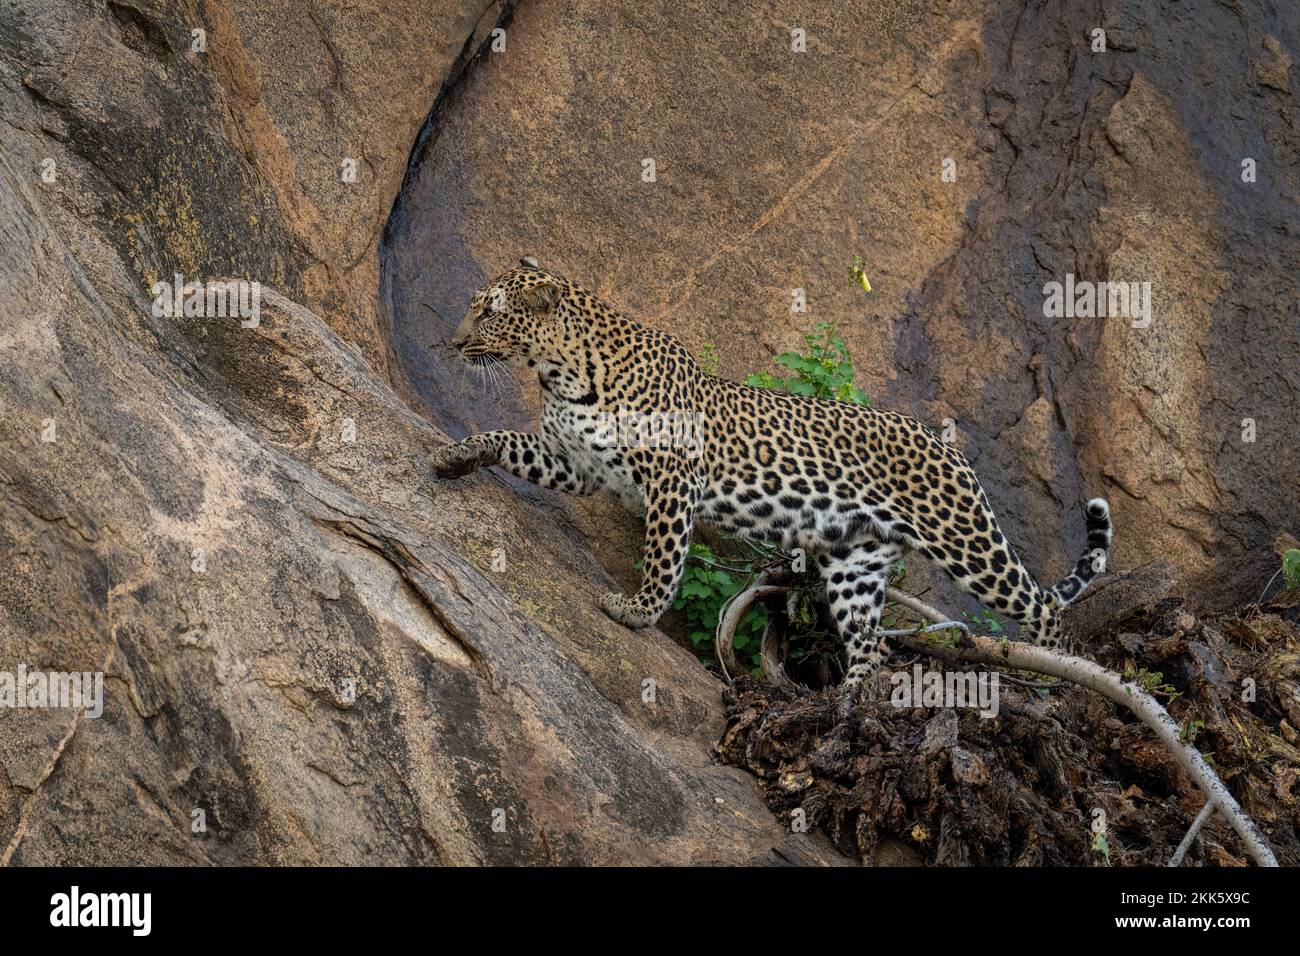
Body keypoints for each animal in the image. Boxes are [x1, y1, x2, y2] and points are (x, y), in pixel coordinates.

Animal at [431, 258, 1113, 687]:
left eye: (488, 314)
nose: (454, 342)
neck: (562, 372)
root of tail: (949, 447)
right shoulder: (575, 464)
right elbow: (504, 440)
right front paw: (453, 457)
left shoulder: (673, 480)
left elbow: (662, 559)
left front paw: (636, 612)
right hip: (855, 562)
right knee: (870, 644)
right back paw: (846, 707)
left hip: (967, 541)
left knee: (1044, 612)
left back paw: (1067, 686)